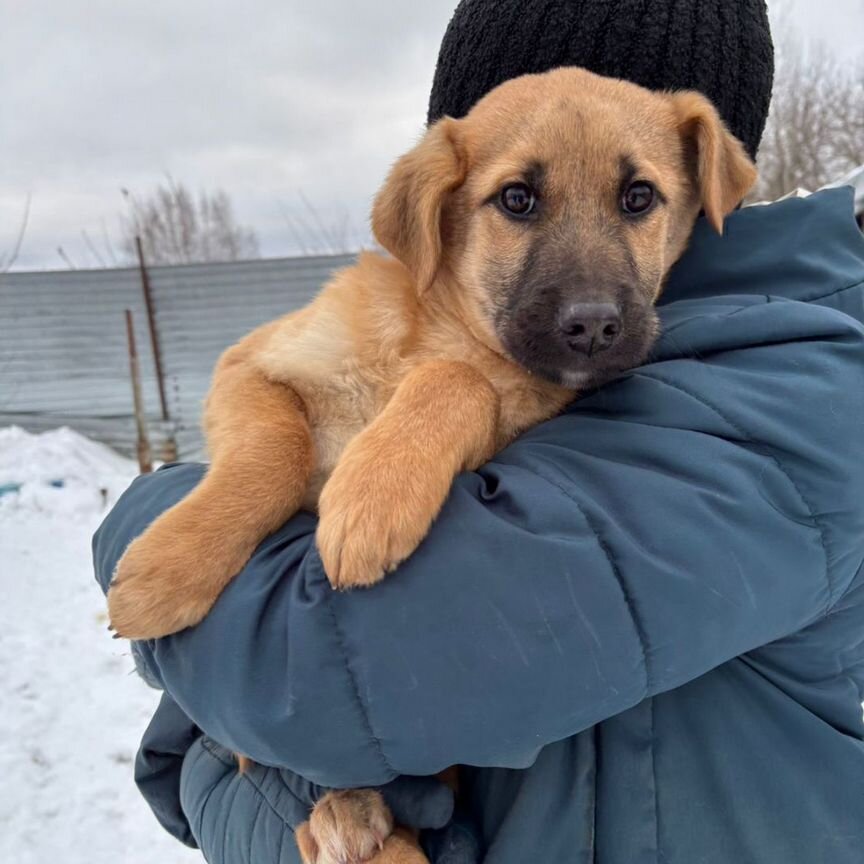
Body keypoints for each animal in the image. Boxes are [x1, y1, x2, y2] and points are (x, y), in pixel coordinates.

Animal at [108, 71, 756, 864]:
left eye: (639, 197)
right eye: (517, 199)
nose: (594, 325)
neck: (435, 337)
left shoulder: (500, 403)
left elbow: (462, 383)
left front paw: (373, 492)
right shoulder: (251, 366)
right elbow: (272, 453)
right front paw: (167, 570)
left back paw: (356, 824)